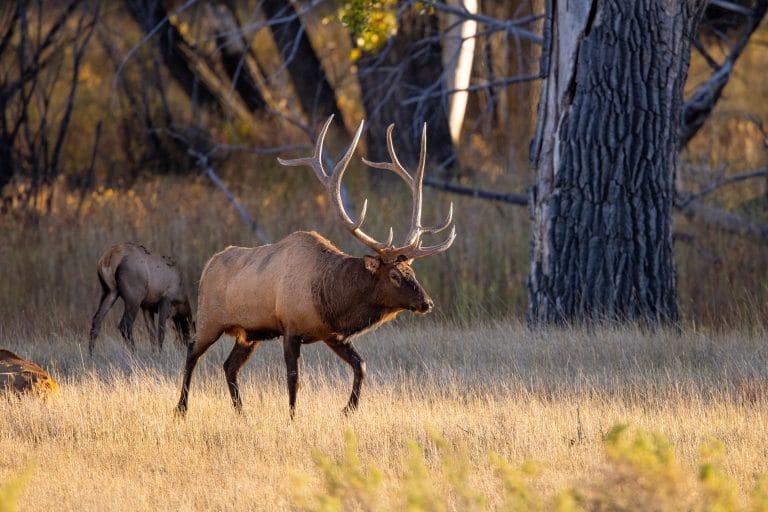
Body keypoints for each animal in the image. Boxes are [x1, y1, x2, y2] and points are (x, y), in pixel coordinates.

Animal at [176, 115, 455, 417]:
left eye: (411, 272)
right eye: (393, 274)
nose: (427, 303)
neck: (330, 299)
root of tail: (207, 266)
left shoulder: (331, 334)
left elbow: (361, 365)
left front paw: (348, 409)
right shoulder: (290, 327)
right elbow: (293, 379)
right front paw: (292, 417)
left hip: (248, 334)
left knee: (229, 365)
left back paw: (242, 412)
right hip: (209, 318)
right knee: (191, 352)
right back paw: (181, 408)